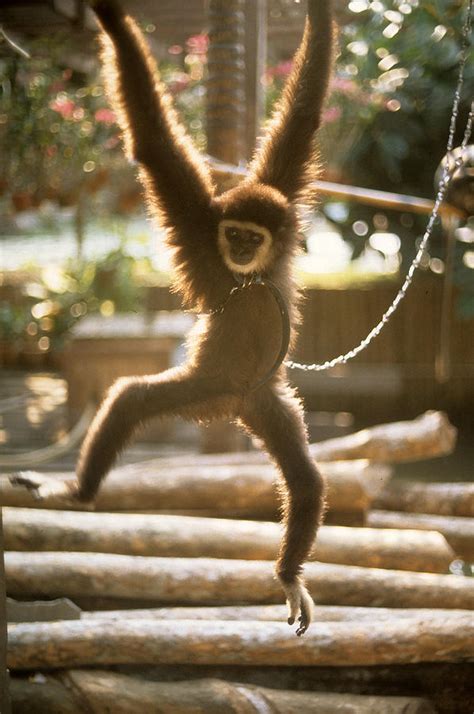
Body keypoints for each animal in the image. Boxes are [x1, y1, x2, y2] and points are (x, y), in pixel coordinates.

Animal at [16, 0, 335, 636]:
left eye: (252, 236)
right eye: (233, 235)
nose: (240, 249)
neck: (248, 276)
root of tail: (232, 404)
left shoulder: (280, 210)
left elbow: (304, 116)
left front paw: (321, 16)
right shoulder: (197, 224)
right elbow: (154, 144)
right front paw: (111, 20)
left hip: (265, 398)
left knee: (306, 482)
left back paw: (289, 573)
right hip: (207, 387)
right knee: (130, 399)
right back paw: (79, 494)